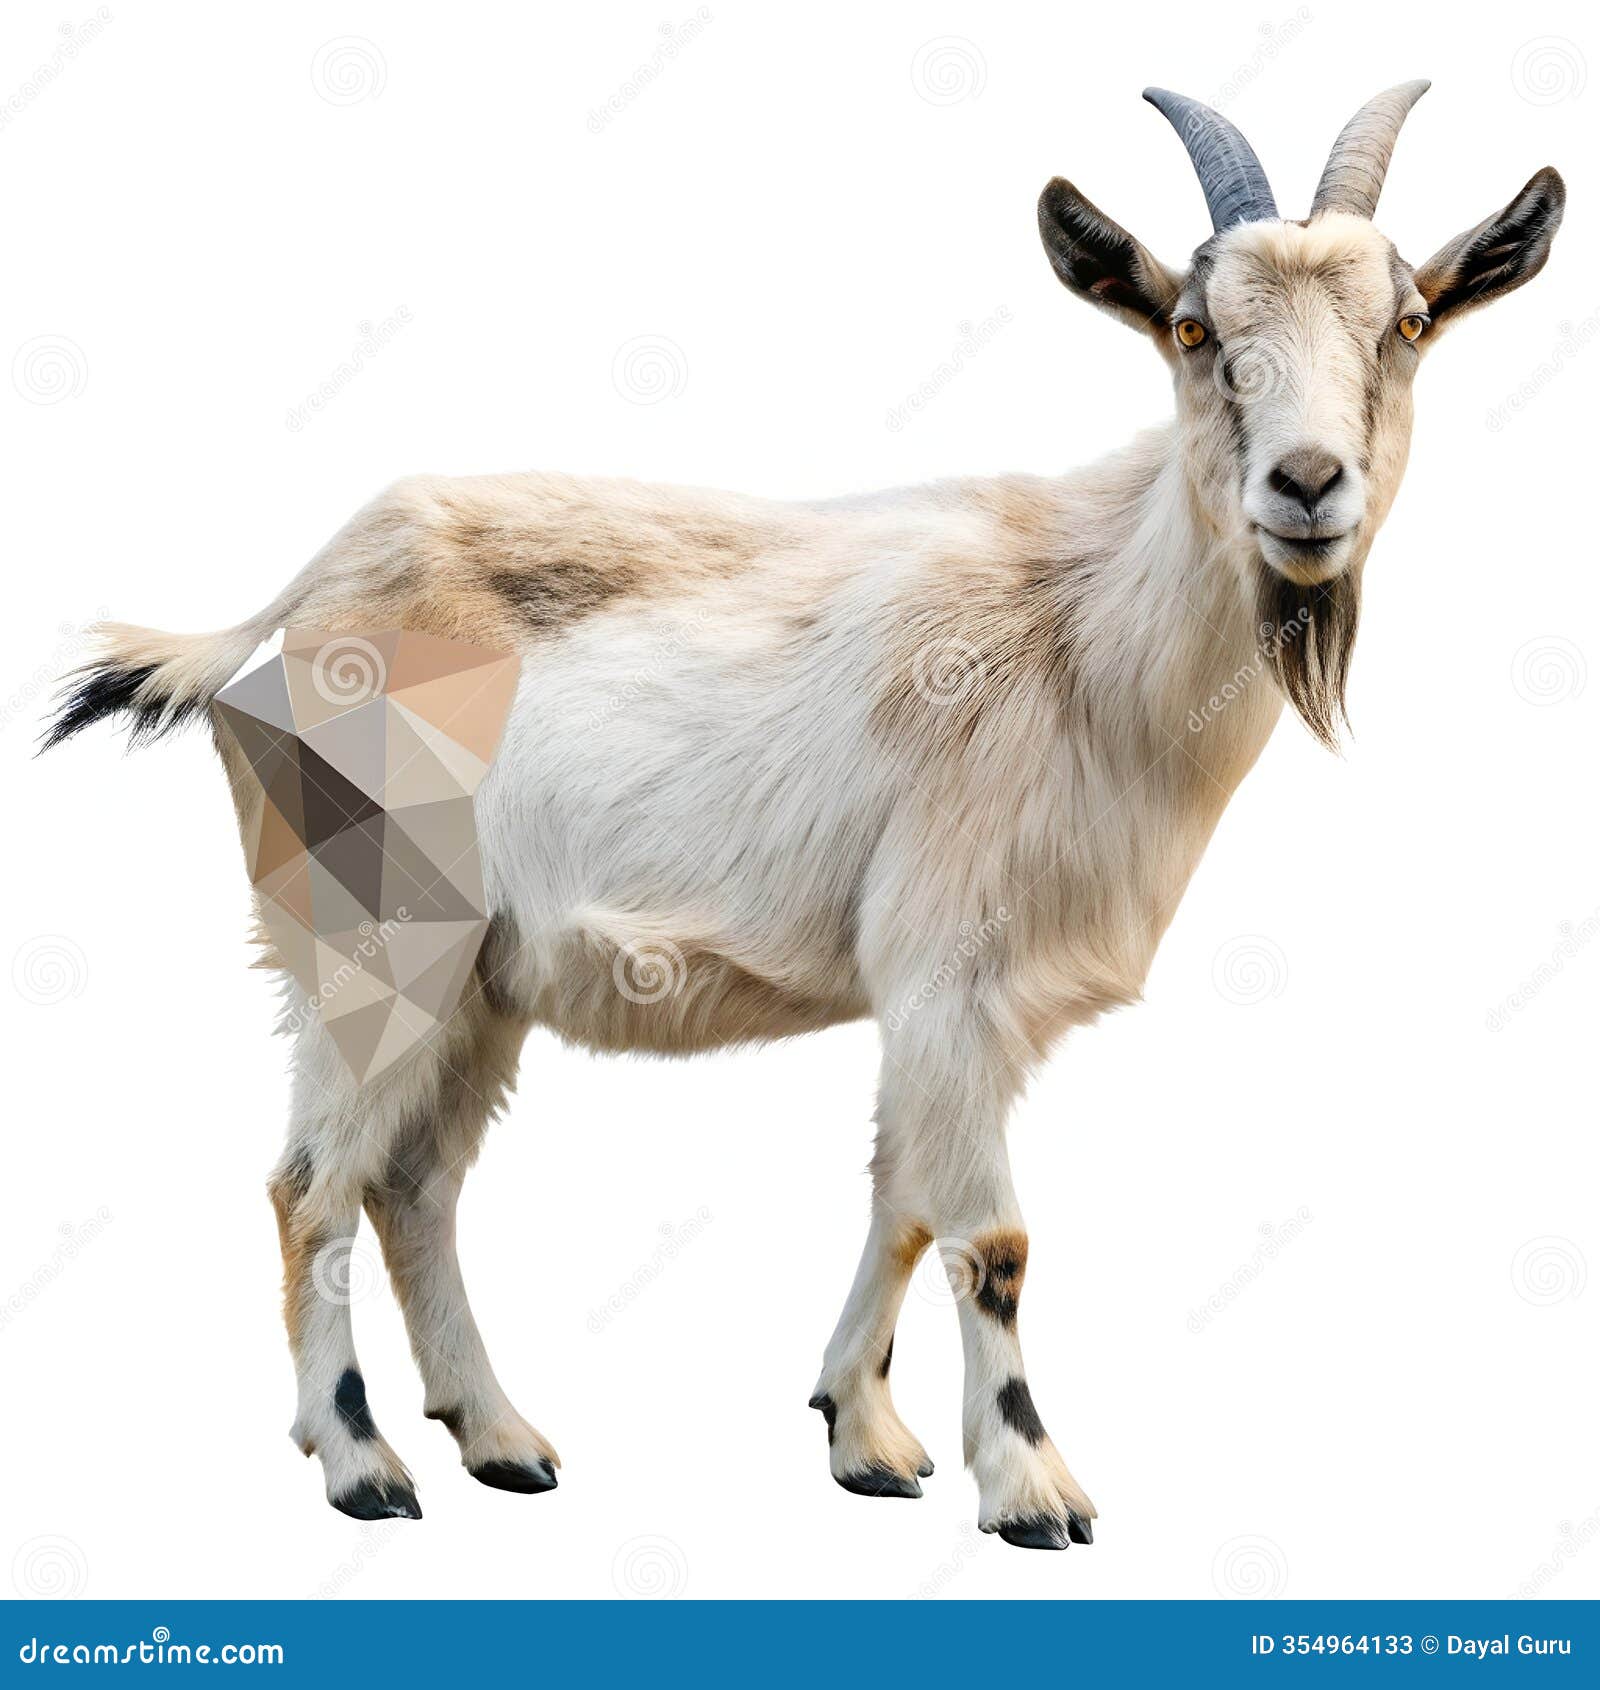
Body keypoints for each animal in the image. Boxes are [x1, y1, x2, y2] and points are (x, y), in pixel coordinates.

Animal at [46, 83, 1564, 1547]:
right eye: (1192, 328)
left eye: (1409, 323)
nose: (1306, 485)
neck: (1080, 639)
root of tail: (294, 604)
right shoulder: (950, 971)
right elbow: (991, 1237)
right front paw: (1032, 1491)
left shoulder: (943, 1002)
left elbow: (901, 1202)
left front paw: (866, 1438)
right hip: (373, 938)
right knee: (310, 1182)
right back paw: (362, 1462)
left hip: (482, 975)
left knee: (412, 1182)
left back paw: (498, 1439)